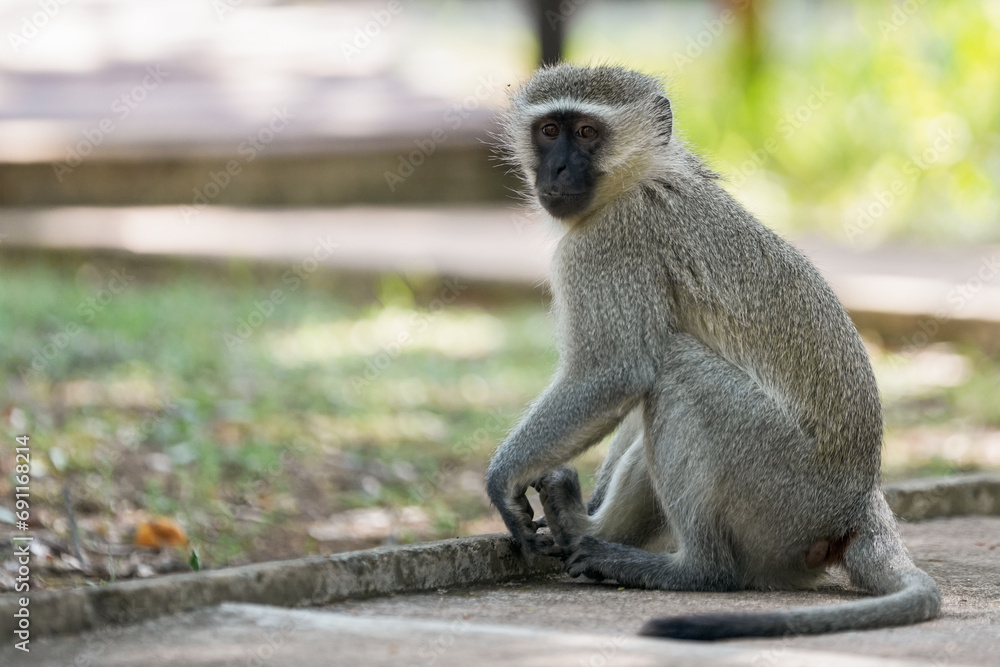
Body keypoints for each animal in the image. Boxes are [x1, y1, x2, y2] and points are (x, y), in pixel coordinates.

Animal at [484, 64, 941, 640]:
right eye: (549, 131)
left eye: (587, 132)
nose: (559, 167)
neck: (641, 177)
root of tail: (859, 502)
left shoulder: (608, 244)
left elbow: (615, 373)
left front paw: (503, 479)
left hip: (782, 486)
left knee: (679, 374)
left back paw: (676, 564)